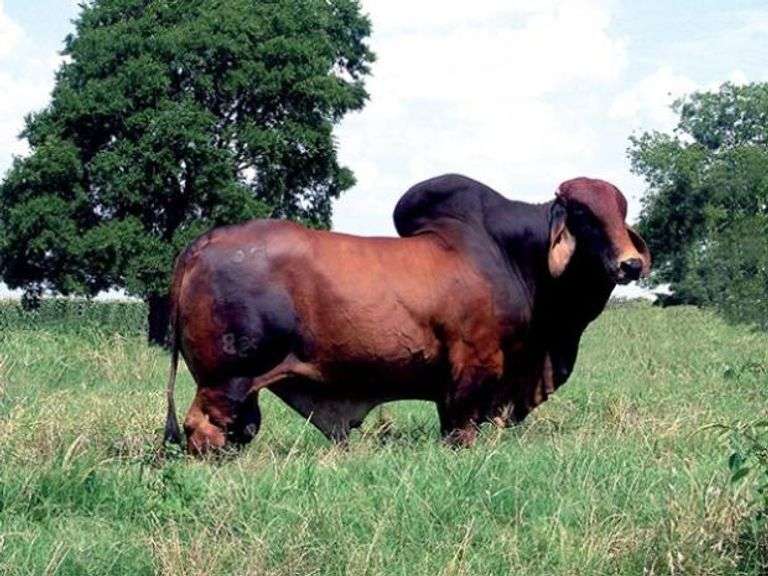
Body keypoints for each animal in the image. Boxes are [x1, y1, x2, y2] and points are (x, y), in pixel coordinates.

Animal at [163, 174, 650, 455]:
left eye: (622, 211)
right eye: (584, 215)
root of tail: (201, 243)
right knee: (204, 429)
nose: (630, 264)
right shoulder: (474, 369)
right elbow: (461, 429)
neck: (513, 256)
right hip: (225, 380)